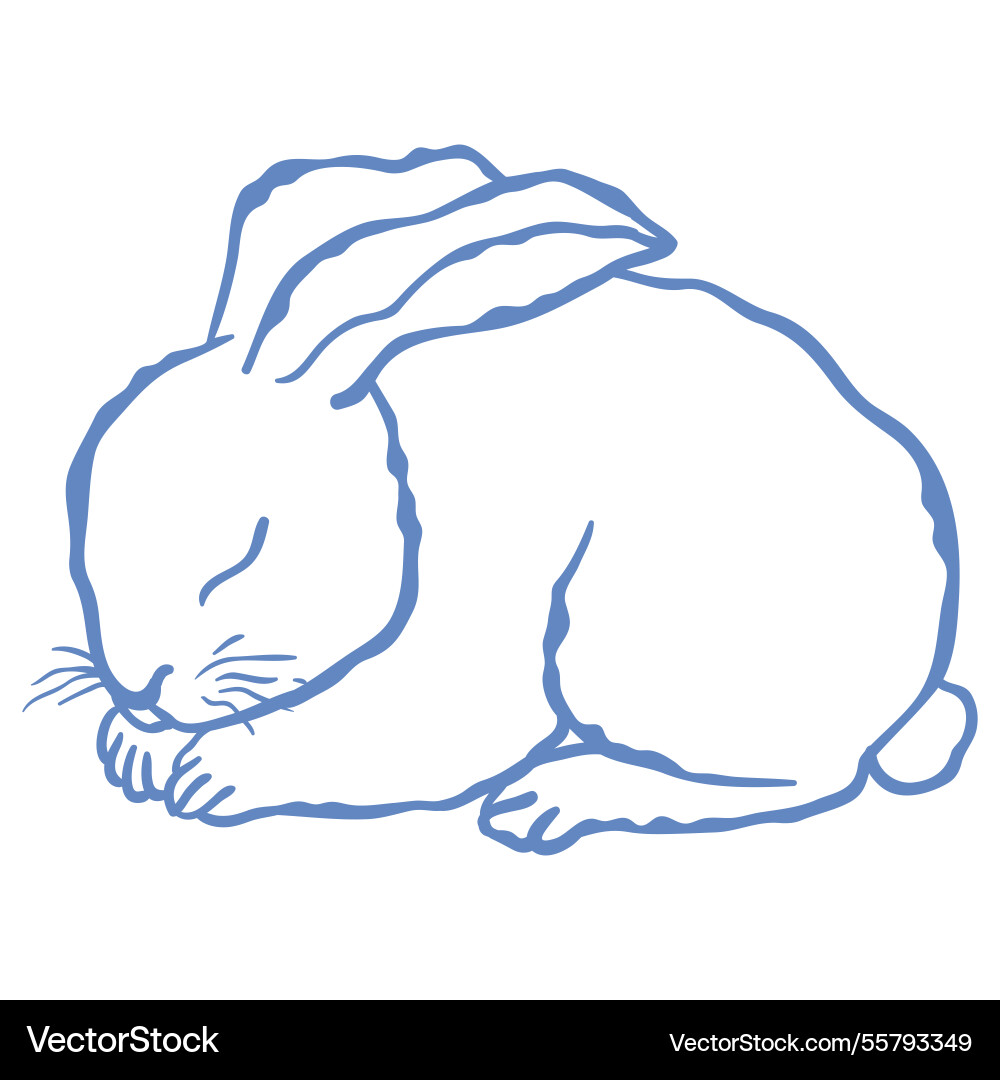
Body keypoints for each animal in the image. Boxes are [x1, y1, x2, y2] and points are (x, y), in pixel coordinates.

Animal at [44, 145, 975, 853]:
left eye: (243, 555)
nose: (138, 692)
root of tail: (899, 701)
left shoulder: (482, 595)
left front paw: (209, 772)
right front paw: (134, 749)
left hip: (642, 647)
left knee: (798, 778)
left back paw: (560, 797)